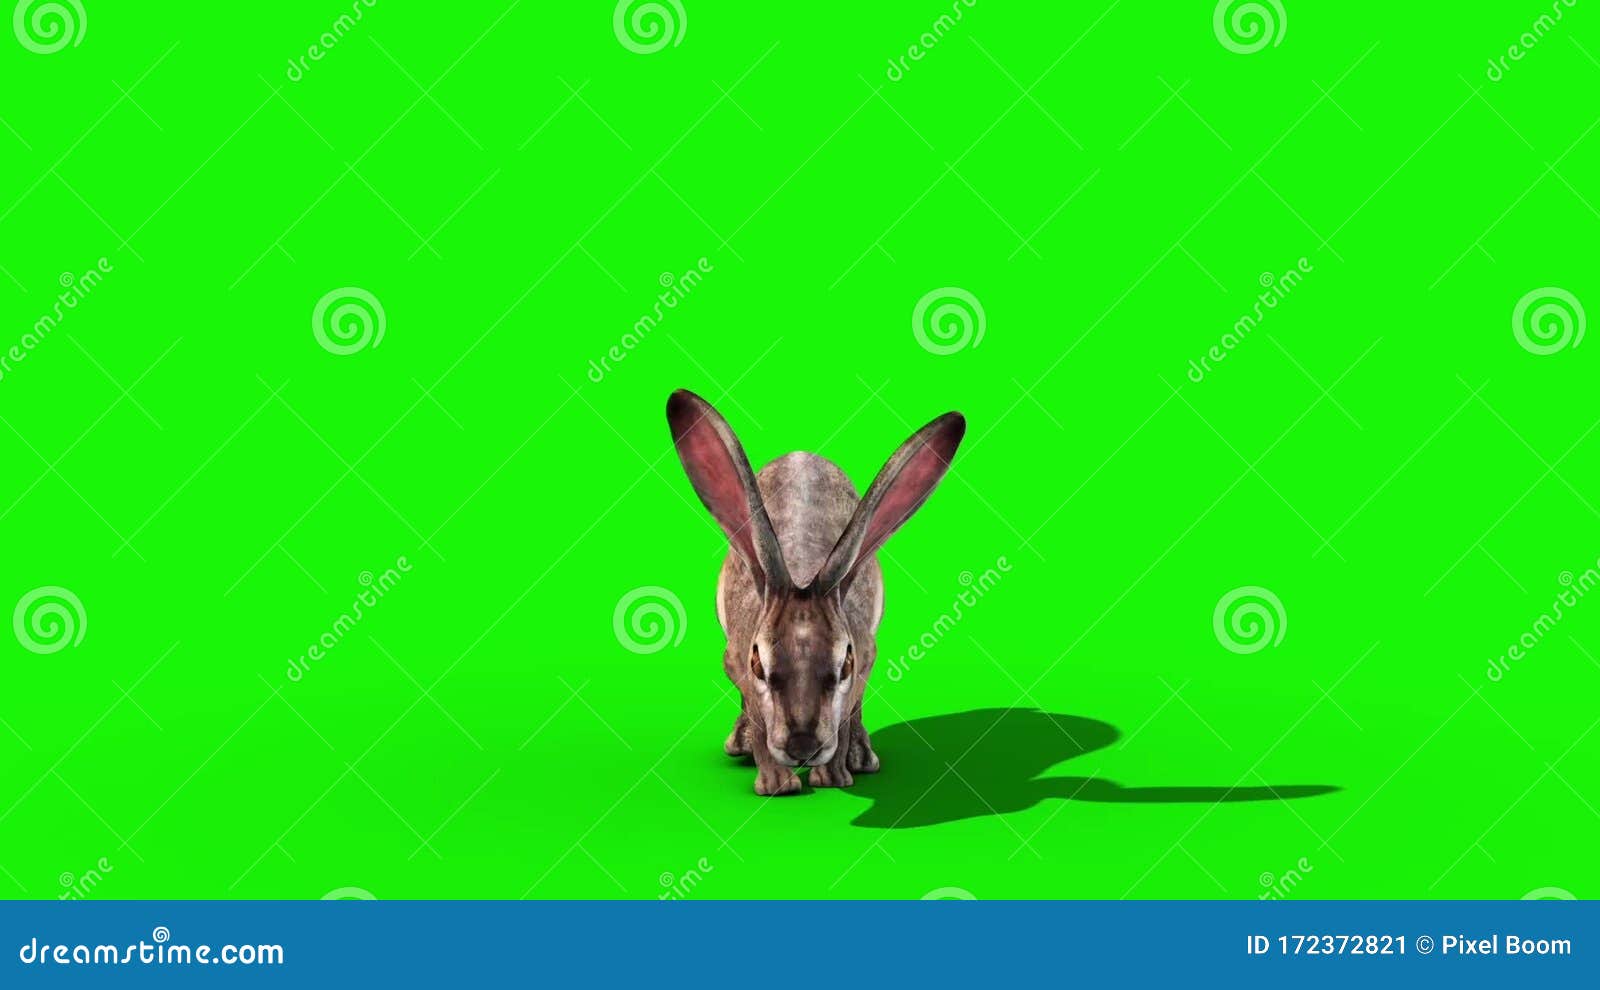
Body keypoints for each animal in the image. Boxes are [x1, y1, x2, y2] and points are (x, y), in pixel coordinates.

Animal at [666, 389, 966, 796]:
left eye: (846, 663)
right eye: (757, 664)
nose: (803, 748)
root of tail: (803, 454)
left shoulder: (863, 662)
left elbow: (845, 717)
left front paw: (835, 777)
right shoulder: (738, 665)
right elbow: (759, 725)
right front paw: (778, 786)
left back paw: (862, 758)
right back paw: (739, 745)